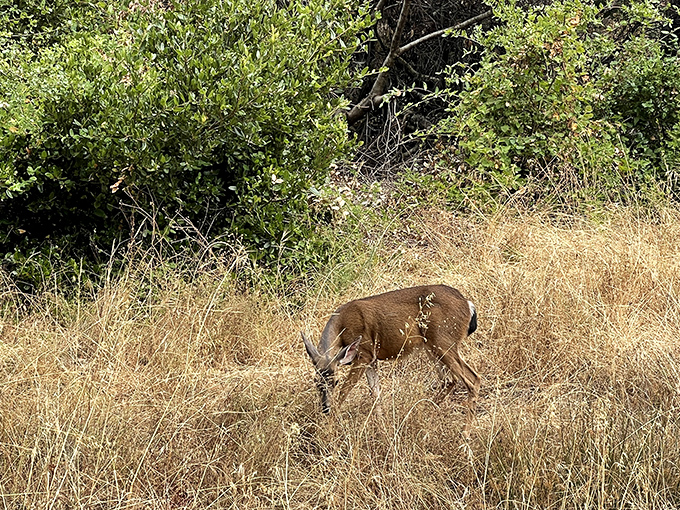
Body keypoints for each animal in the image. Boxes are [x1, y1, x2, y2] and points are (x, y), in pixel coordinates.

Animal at [302, 285, 481, 428]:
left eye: (336, 382)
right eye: (315, 381)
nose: (325, 408)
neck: (341, 327)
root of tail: (468, 304)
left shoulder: (364, 353)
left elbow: (345, 391)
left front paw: (330, 425)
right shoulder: (372, 358)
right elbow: (376, 393)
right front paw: (382, 426)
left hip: (443, 340)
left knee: (472, 378)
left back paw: (465, 435)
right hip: (432, 346)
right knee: (449, 380)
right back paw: (421, 413)